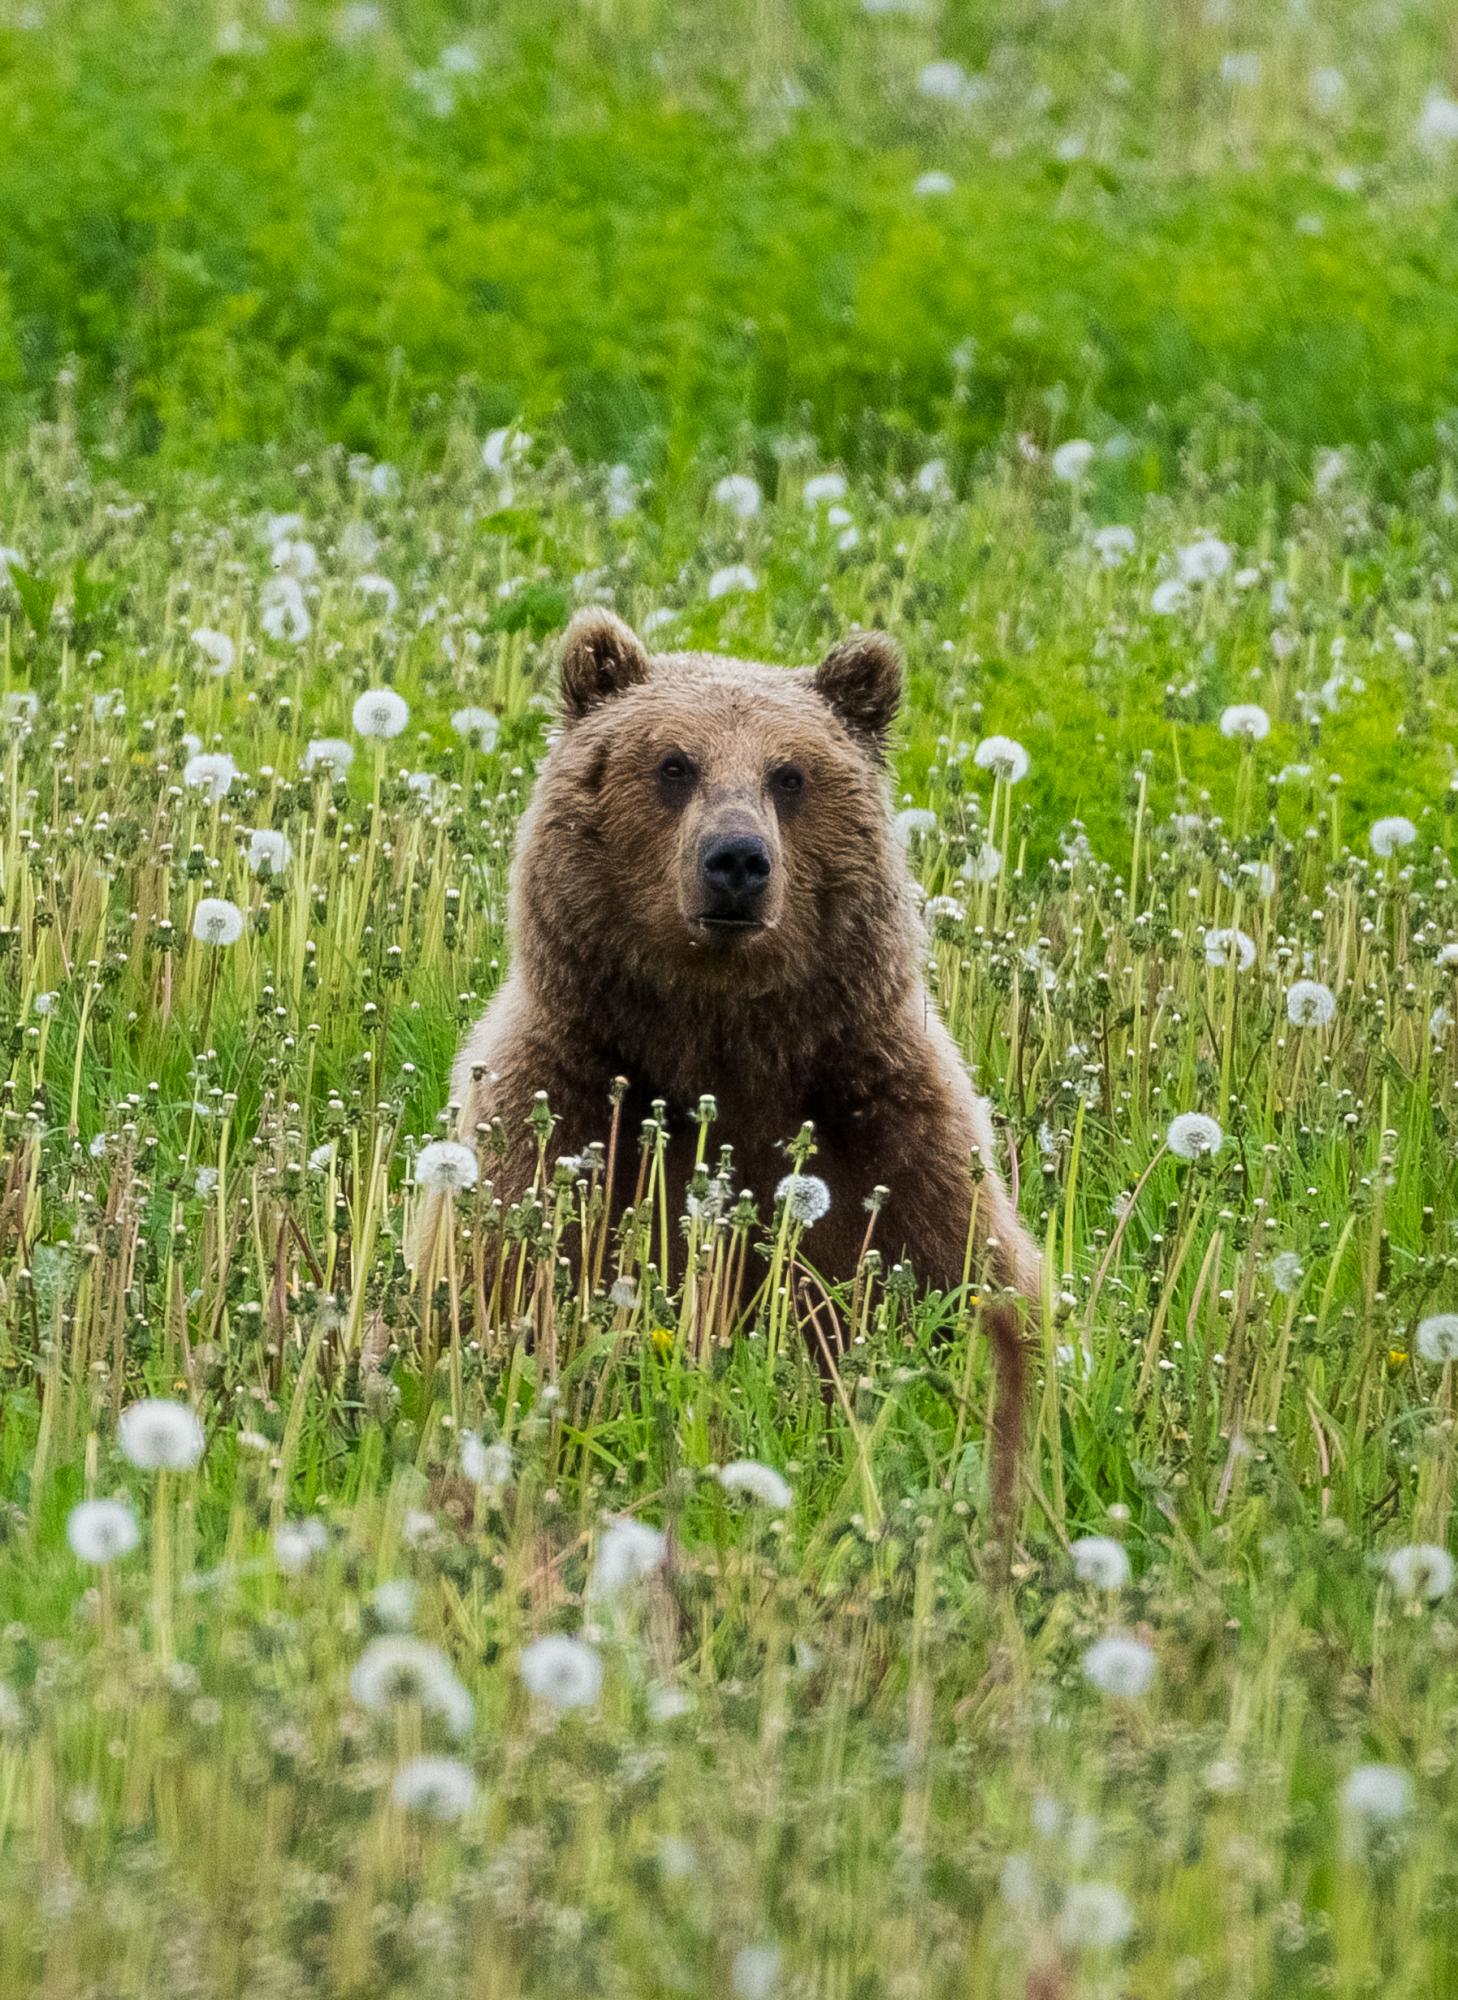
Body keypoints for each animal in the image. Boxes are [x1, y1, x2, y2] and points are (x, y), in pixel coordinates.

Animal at [416, 608, 1040, 1512]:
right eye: (674, 764)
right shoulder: (562, 1124)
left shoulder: (888, 1138)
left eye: (790, 774)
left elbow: (966, 1284)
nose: (738, 859)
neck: (720, 1040)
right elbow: (495, 1293)